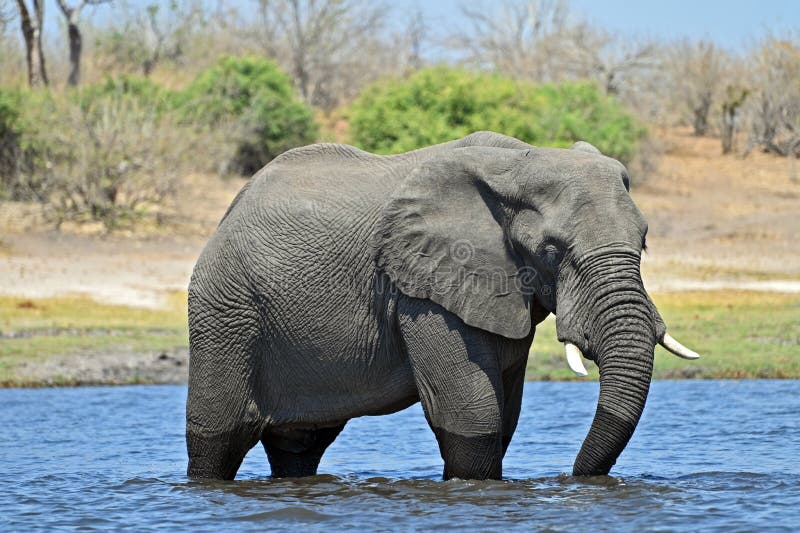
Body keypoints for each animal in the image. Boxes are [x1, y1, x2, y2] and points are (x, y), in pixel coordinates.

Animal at [186, 131, 699, 481]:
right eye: (552, 249)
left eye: (644, 241)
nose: (569, 475)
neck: (519, 161)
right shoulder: (423, 291)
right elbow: (472, 414)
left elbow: (503, 418)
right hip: (226, 310)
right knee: (218, 438)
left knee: (299, 445)